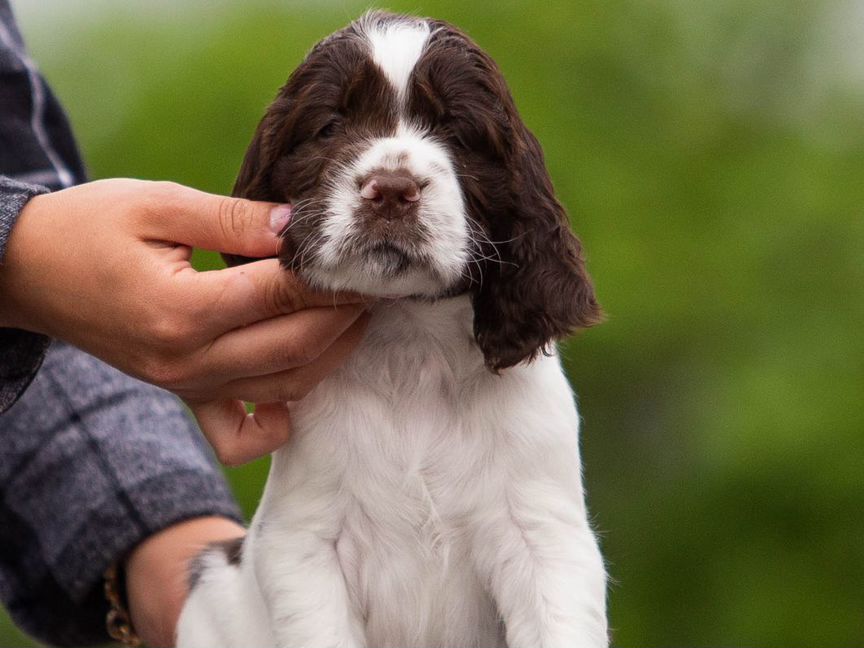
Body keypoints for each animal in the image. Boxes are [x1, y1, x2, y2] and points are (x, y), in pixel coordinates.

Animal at [176, 10, 608, 648]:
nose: (392, 190)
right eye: (330, 126)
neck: (411, 347)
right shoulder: (305, 544)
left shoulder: (545, 539)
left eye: (457, 132)